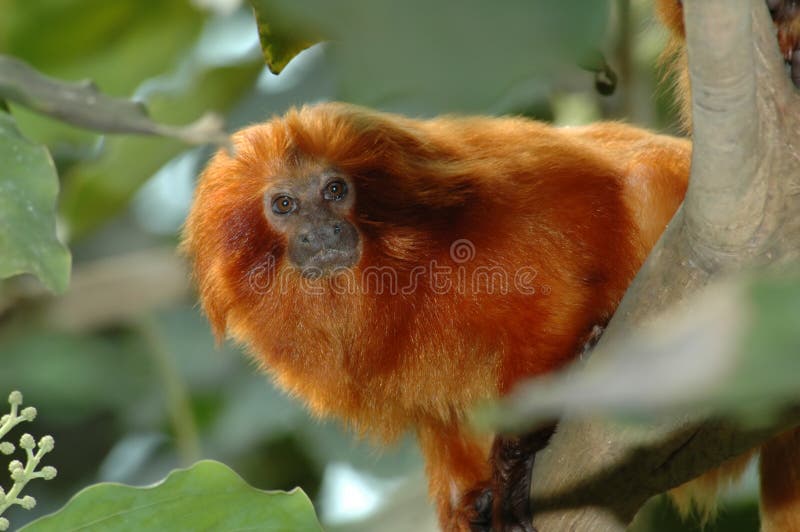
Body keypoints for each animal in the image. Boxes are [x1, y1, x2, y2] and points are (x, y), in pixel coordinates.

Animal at [182, 102, 691, 530]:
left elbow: (554, 291)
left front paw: (515, 455)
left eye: (335, 190)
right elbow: (443, 417)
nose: (322, 231)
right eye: (284, 204)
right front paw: (471, 501)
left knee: (644, 178)